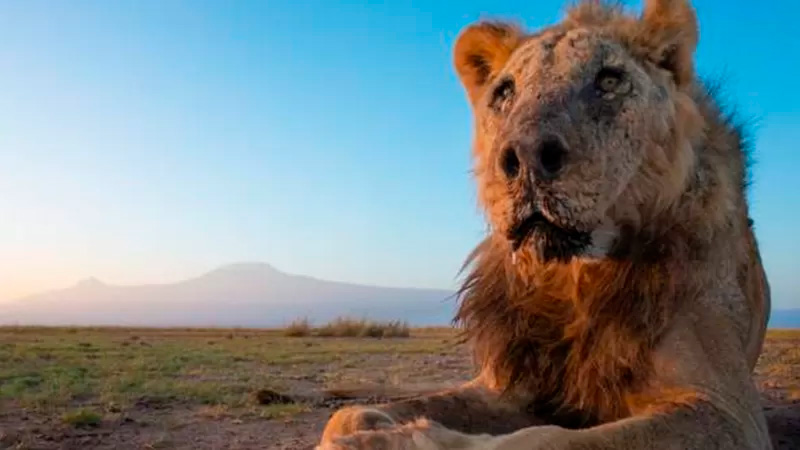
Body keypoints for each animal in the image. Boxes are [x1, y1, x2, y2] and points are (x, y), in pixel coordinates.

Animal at [317, 0, 772, 448]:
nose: (527, 155)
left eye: (609, 80)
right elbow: (352, 414)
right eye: (504, 92)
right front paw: (365, 427)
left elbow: (545, 439)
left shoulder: (727, 410)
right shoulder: (509, 386)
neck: (572, 279)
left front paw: (402, 439)